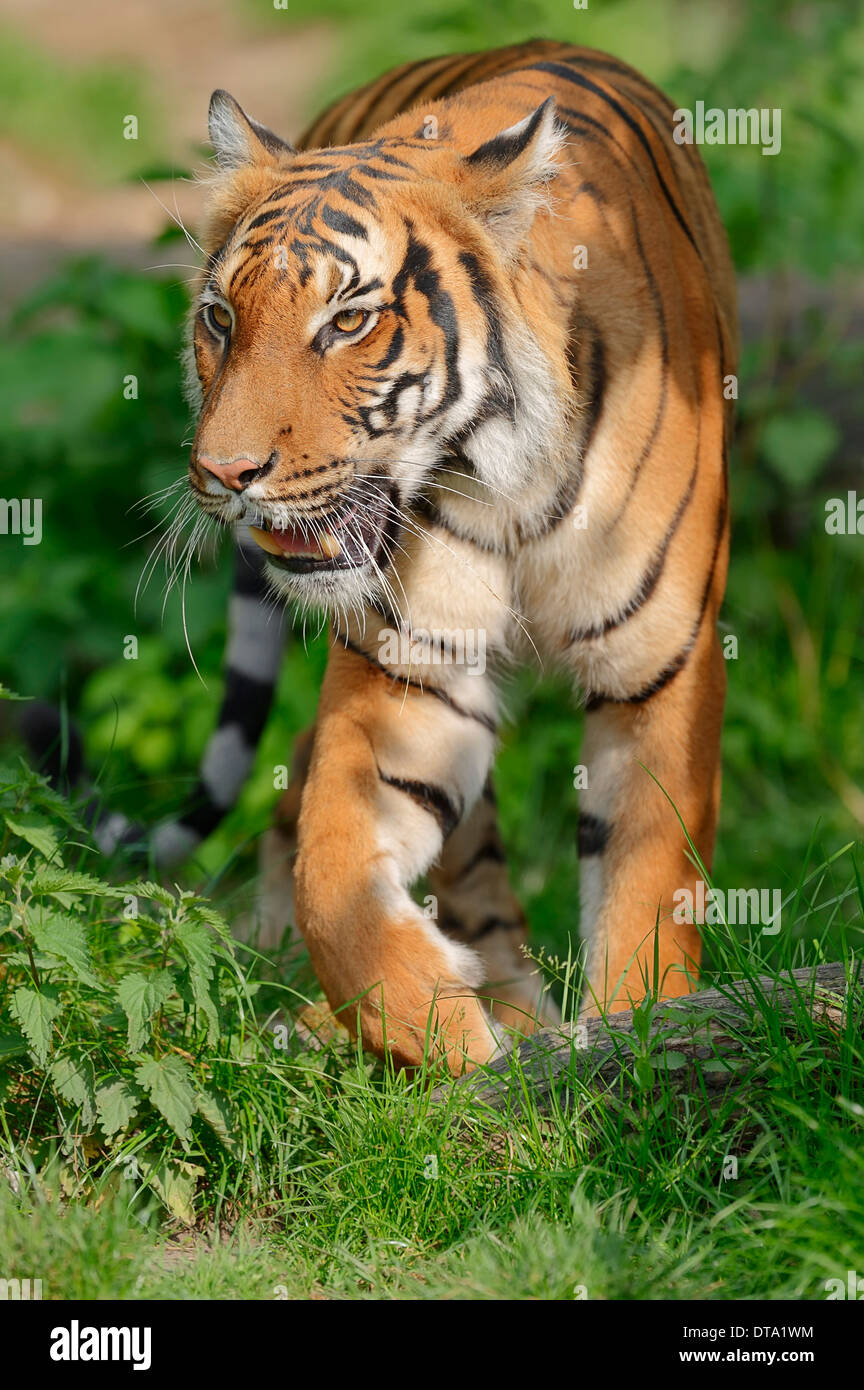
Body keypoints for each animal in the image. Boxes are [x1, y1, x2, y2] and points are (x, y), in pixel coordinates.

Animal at [129, 39, 739, 1073]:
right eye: (220, 318)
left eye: (347, 321)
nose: (224, 474)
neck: (509, 483)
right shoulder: (408, 671)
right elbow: (333, 882)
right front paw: (457, 1044)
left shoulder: (663, 669)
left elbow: (647, 892)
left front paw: (636, 1042)